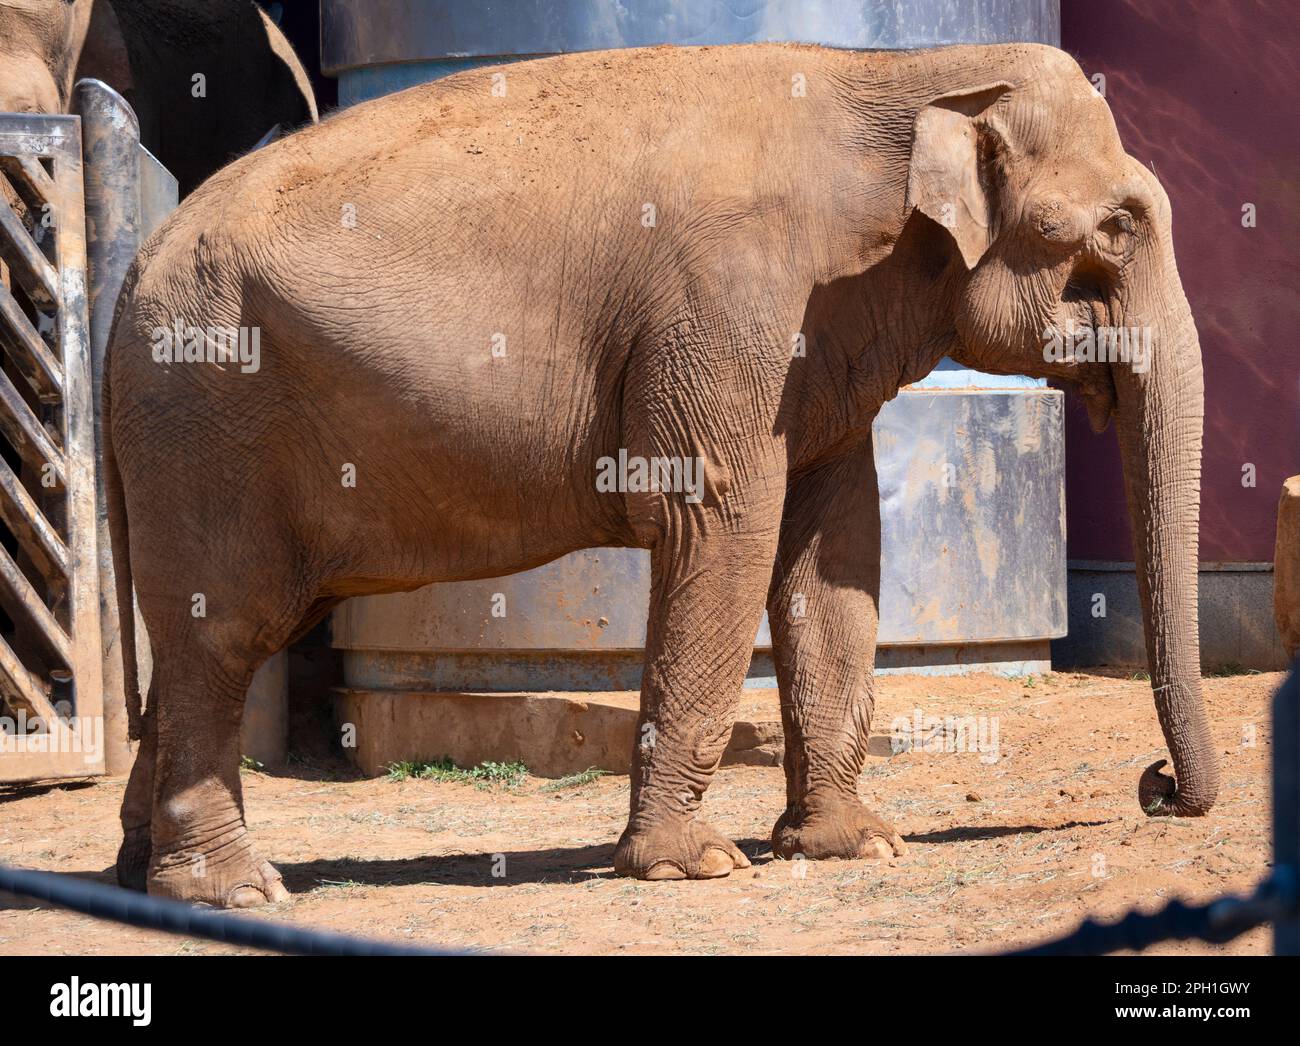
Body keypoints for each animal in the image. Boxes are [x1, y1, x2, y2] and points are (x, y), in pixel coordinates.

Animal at [103, 42, 1216, 907]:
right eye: (1117, 227)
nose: (1156, 785)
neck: (895, 76)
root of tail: (134, 262)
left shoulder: (814, 345)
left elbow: (835, 557)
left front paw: (854, 844)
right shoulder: (725, 313)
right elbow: (722, 527)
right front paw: (697, 866)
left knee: (193, 644)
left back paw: (136, 876)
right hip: (204, 417)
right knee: (223, 632)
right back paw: (234, 891)